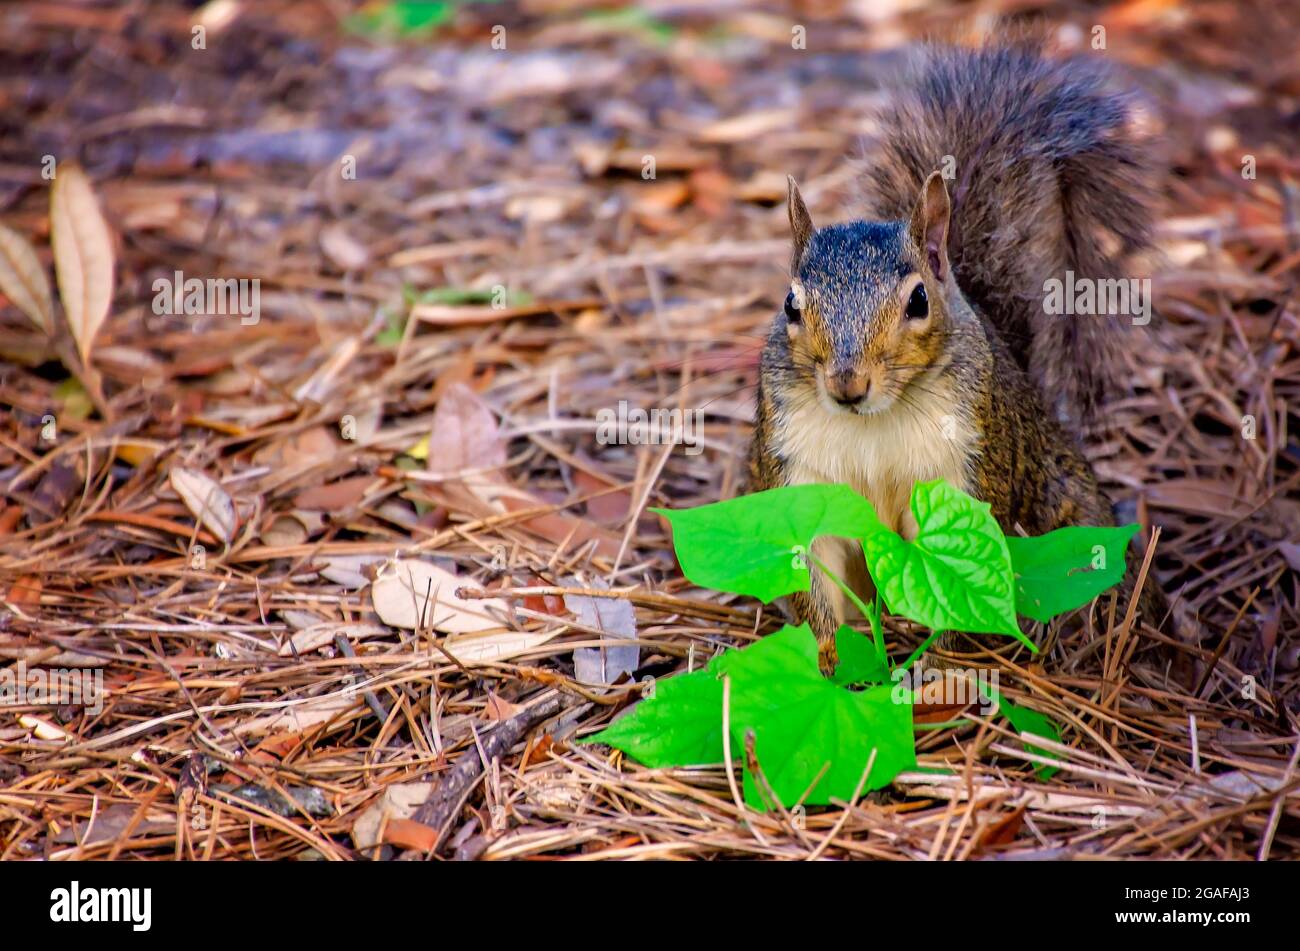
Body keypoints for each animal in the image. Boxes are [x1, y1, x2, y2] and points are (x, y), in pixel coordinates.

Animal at [748, 44, 1162, 671]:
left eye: (919, 301)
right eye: (791, 305)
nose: (847, 386)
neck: (876, 419)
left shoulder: (968, 471)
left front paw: (940, 663)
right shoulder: (800, 470)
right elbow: (813, 569)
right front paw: (829, 661)